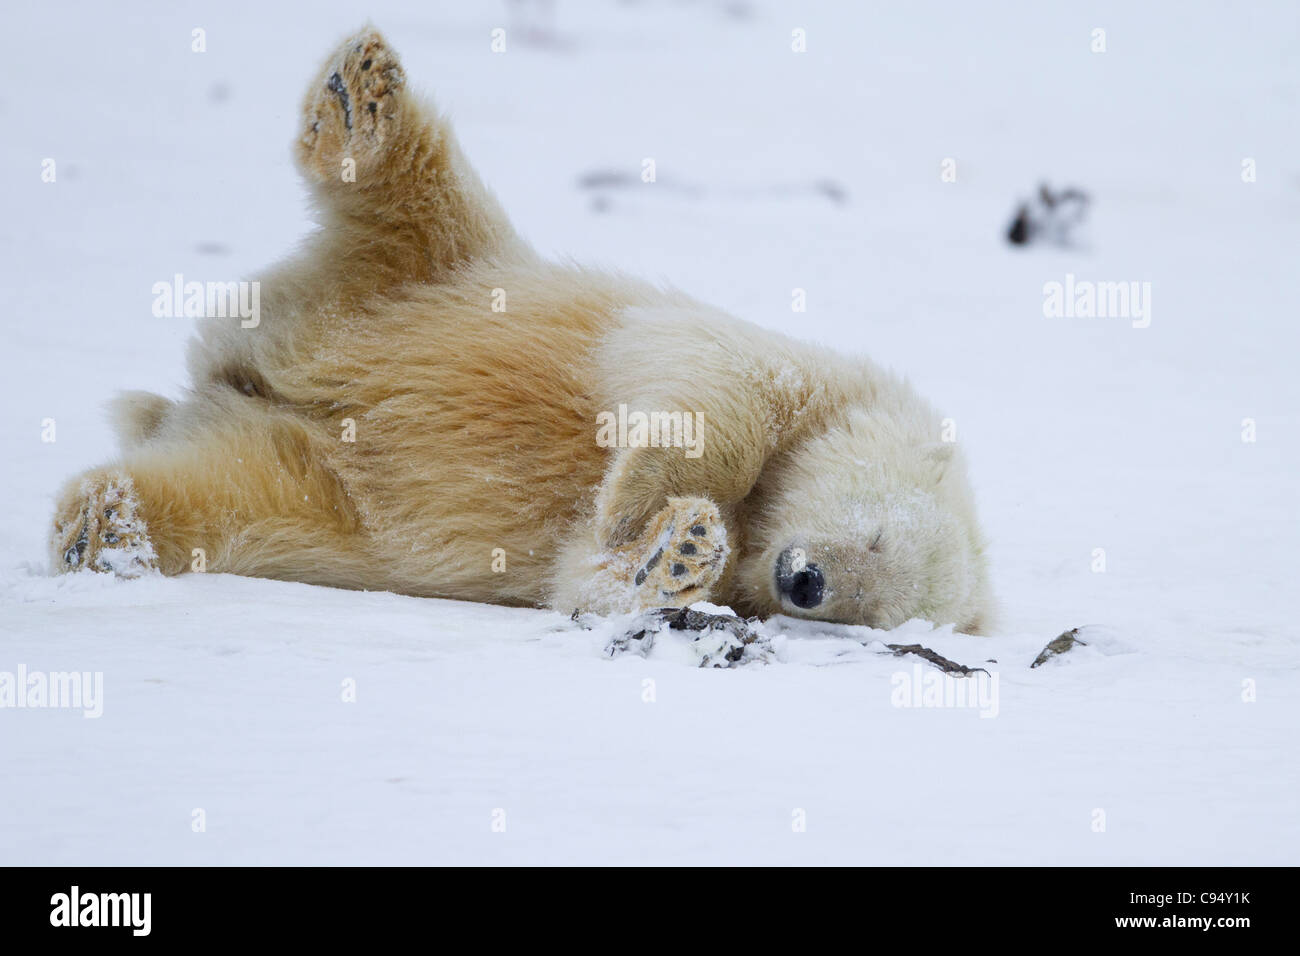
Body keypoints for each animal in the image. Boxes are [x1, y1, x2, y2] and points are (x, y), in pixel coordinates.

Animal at [50, 27, 993, 634]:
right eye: (873, 536)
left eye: (868, 610)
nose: (805, 581)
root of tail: (234, 375)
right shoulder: (789, 367)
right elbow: (703, 383)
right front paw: (643, 499)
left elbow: (583, 579)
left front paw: (674, 550)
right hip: (443, 277)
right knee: (421, 209)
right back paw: (360, 99)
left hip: (311, 490)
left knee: (225, 494)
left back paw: (106, 524)